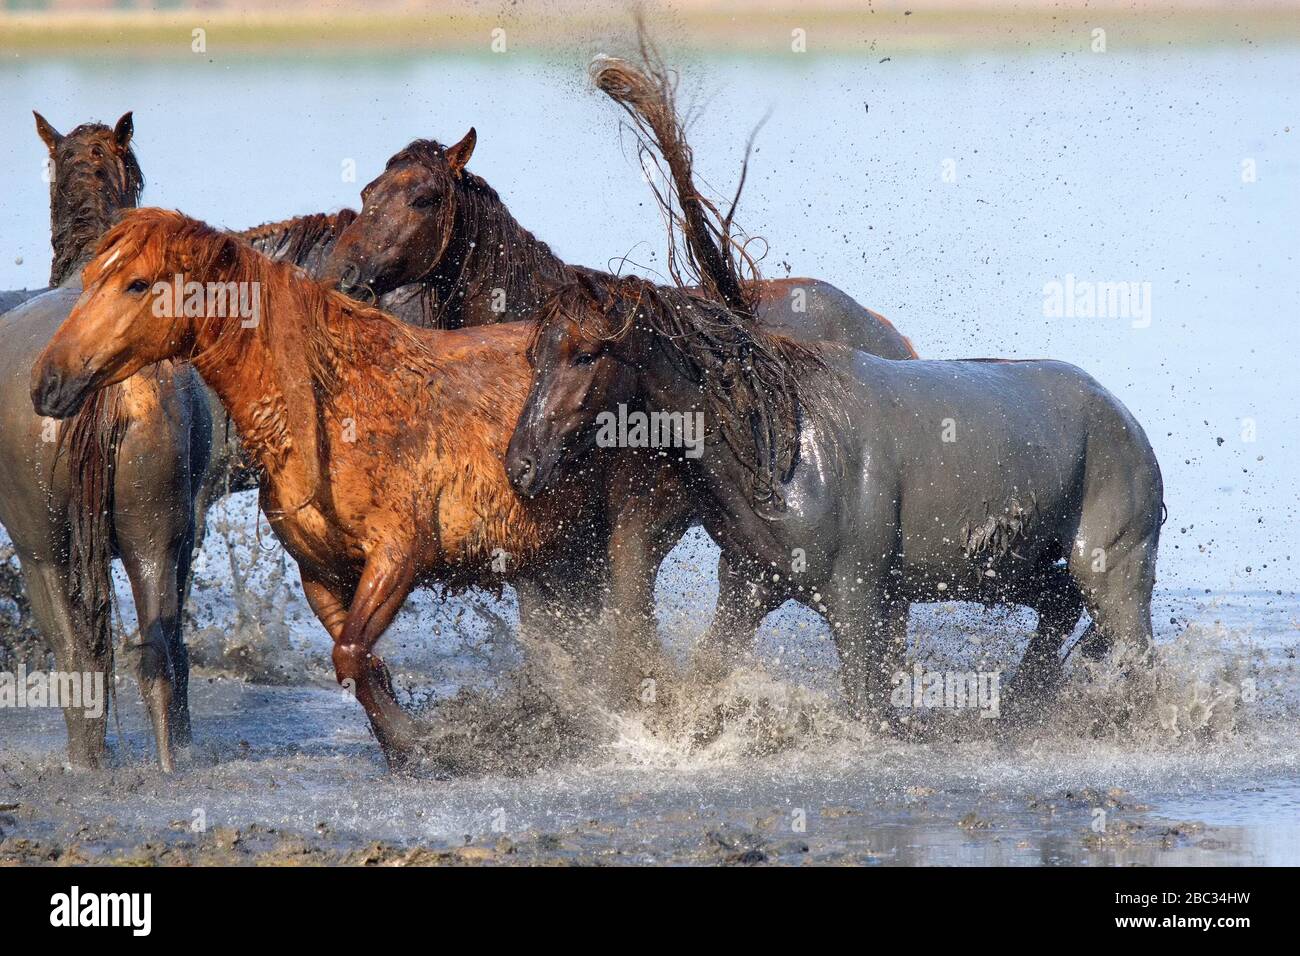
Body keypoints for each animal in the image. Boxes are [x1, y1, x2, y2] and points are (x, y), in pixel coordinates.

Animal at [0, 112, 211, 770]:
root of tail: (105, 388)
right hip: (155, 537)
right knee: (160, 650)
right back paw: (171, 764)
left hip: (42, 550)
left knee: (78, 657)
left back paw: (87, 763)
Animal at [28, 208, 707, 769]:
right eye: (92, 277)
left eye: (137, 284)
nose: (47, 382)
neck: (333, 407)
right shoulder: (321, 572)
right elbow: (355, 662)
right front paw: (406, 745)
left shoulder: (399, 554)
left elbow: (352, 654)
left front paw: (423, 745)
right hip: (560, 559)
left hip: (627, 537)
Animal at [505, 55, 1164, 717]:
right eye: (534, 352)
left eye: (586, 353)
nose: (520, 465)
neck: (775, 444)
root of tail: (1128, 422)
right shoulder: (748, 586)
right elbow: (707, 674)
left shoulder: (858, 601)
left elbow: (867, 707)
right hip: (1011, 571)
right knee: (1060, 608)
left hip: (1113, 571)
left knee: (1136, 656)